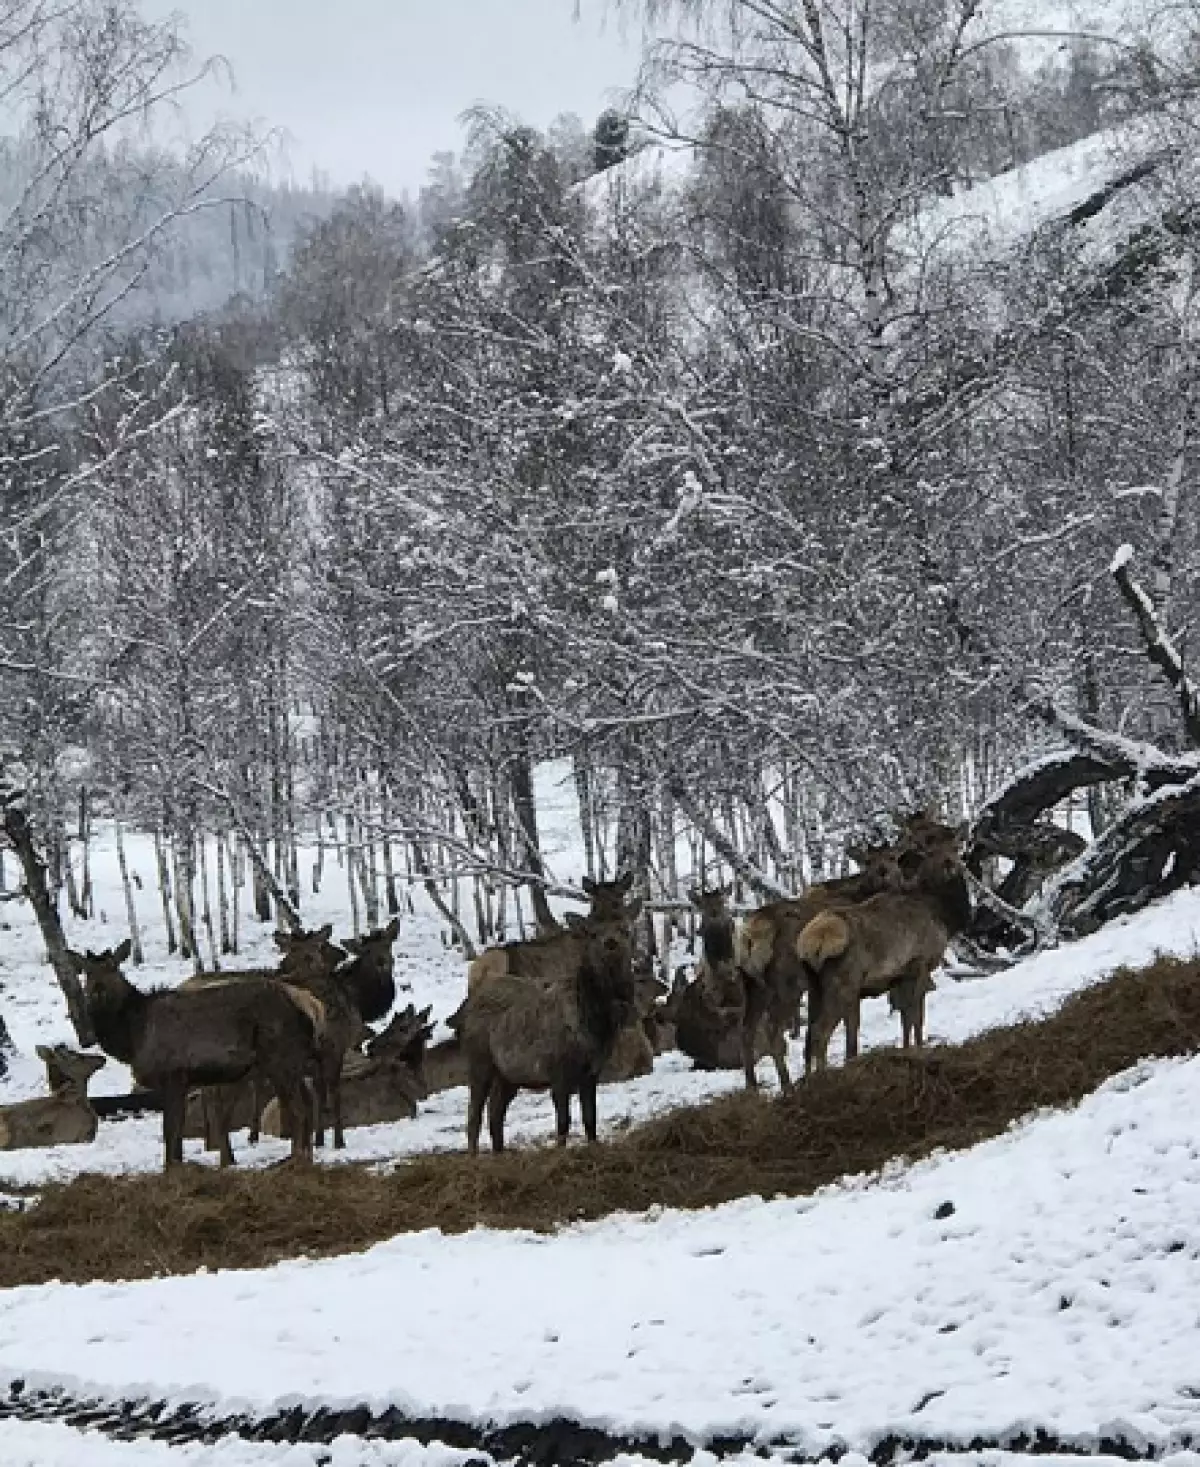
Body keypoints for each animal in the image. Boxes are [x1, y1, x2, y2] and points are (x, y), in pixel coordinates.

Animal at [72, 944, 318, 1173]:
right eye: (86, 972)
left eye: (113, 967)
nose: (97, 992)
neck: (132, 1038)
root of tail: (308, 1009)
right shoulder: (182, 1081)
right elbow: (177, 1130)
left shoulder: (173, 1075)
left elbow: (170, 1129)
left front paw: (170, 1168)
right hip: (293, 1063)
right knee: (307, 1103)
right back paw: (301, 1159)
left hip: (280, 1059)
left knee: (299, 1109)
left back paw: (295, 1162)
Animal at [448, 915, 636, 1155]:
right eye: (593, 933)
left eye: (625, 930)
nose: (611, 943)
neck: (595, 1027)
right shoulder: (558, 1070)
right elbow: (564, 1121)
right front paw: (560, 1151)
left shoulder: (592, 1072)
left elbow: (590, 1117)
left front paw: (594, 1146)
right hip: (479, 1061)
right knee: (474, 1115)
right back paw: (474, 1156)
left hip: (509, 1075)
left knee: (495, 1112)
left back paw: (500, 1153)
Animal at [792, 839, 974, 1079]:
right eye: (930, 852)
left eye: (955, 847)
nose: (950, 863)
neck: (940, 913)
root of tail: (812, 941)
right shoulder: (920, 964)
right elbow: (917, 1016)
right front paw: (920, 1050)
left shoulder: (900, 976)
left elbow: (905, 1018)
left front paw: (906, 1051)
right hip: (843, 983)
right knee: (820, 1031)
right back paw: (825, 1077)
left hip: (814, 986)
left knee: (809, 1036)